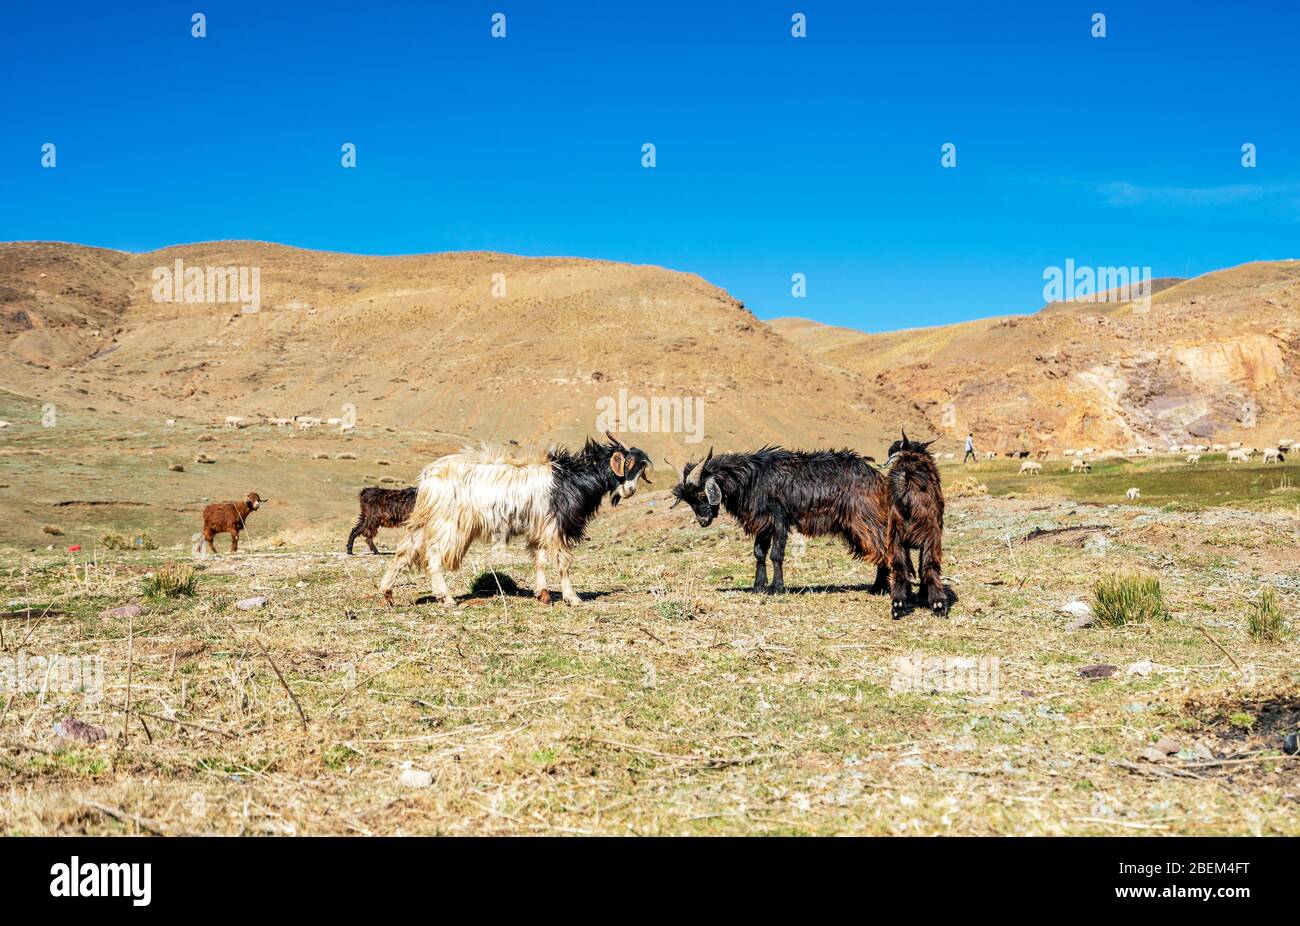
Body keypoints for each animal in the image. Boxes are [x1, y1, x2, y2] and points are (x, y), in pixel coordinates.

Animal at [379, 433, 651, 607]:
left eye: (641, 471)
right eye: (628, 464)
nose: (630, 491)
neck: (571, 477)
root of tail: (429, 476)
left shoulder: (539, 528)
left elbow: (539, 559)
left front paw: (543, 595)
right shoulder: (556, 527)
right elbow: (562, 563)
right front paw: (572, 598)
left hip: (426, 521)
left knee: (404, 552)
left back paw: (387, 593)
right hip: (449, 524)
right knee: (434, 556)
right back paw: (446, 598)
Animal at [669, 432, 947, 618]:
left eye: (702, 493)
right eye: (689, 500)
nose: (703, 521)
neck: (751, 478)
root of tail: (877, 477)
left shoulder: (779, 519)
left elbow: (776, 554)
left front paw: (776, 588)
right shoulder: (762, 523)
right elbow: (758, 553)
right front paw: (758, 586)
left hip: (863, 520)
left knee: (884, 549)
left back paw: (880, 588)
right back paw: (878, 587)